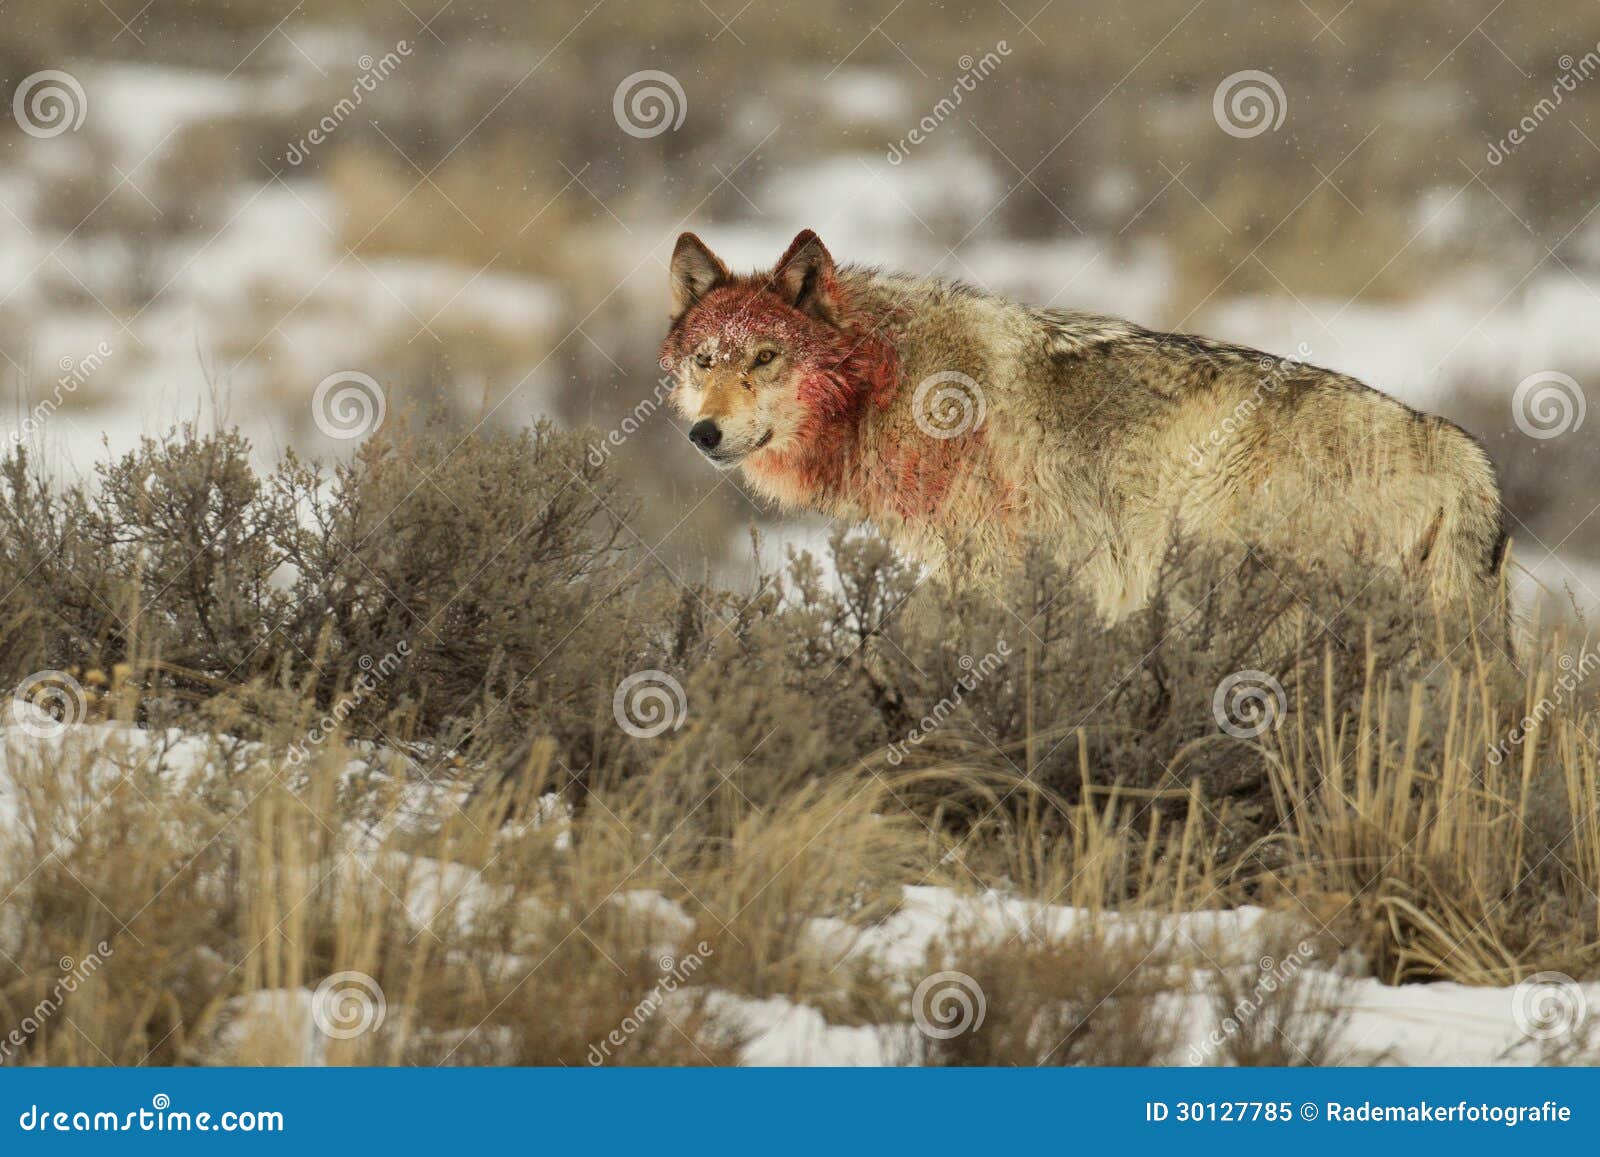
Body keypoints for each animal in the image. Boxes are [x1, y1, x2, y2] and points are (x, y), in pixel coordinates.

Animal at [660, 229, 1508, 623]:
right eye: (705, 359)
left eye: (765, 357)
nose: (705, 434)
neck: (894, 377)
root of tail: (1457, 448)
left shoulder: (992, 576)